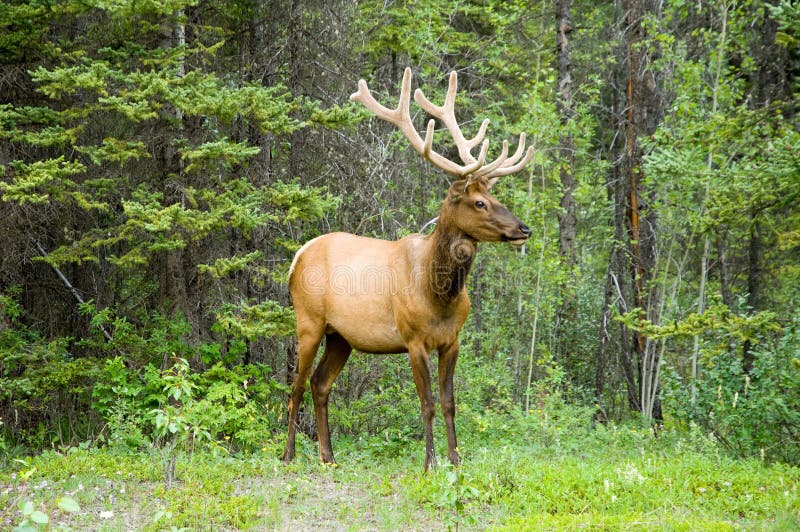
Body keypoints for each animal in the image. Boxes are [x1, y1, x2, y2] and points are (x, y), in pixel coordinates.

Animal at [281, 68, 534, 470]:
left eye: (495, 196)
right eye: (479, 202)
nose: (524, 229)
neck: (439, 294)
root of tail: (298, 256)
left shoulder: (452, 341)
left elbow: (449, 403)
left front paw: (456, 460)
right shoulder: (413, 339)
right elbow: (427, 403)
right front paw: (430, 463)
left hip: (341, 336)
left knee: (321, 383)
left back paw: (328, 457)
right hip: (308, 320)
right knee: (296, 385)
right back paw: (289, 454)